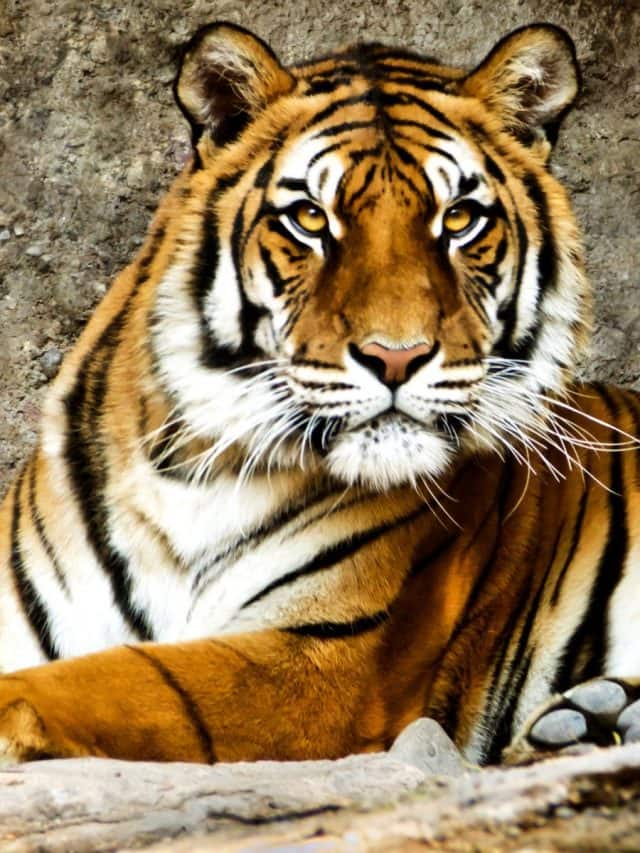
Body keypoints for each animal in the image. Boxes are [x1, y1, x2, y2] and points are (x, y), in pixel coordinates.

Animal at [0, 20, 639, 768]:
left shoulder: (325, 661)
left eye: (459, 220)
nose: (397, 356)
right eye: (310, 217)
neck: (191, 466)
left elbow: (124, 680)